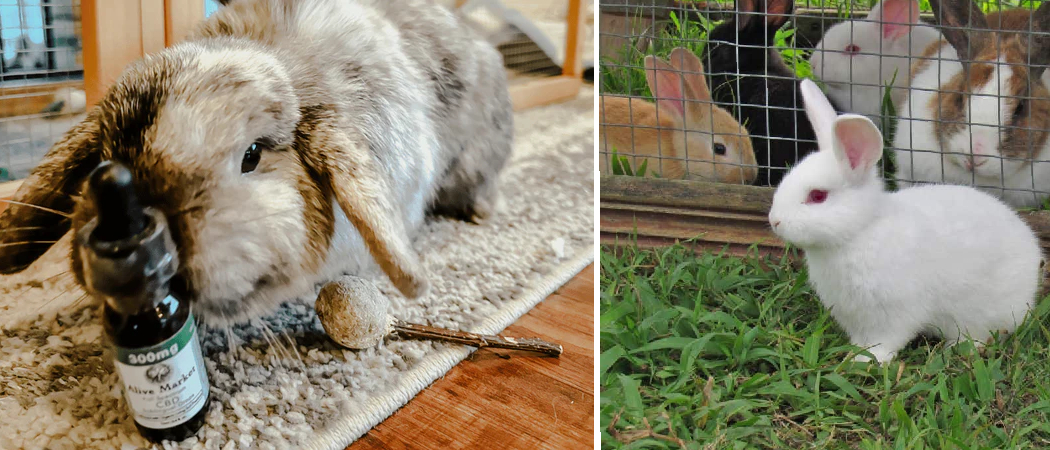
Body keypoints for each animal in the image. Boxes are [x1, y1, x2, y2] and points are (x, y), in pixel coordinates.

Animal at [769, 79, 1040, 364]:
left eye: (817, 196)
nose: (774, 221)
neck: (860, 231)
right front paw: (855, 352)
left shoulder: (895, 313)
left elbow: (888, 340)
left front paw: (867, 360)